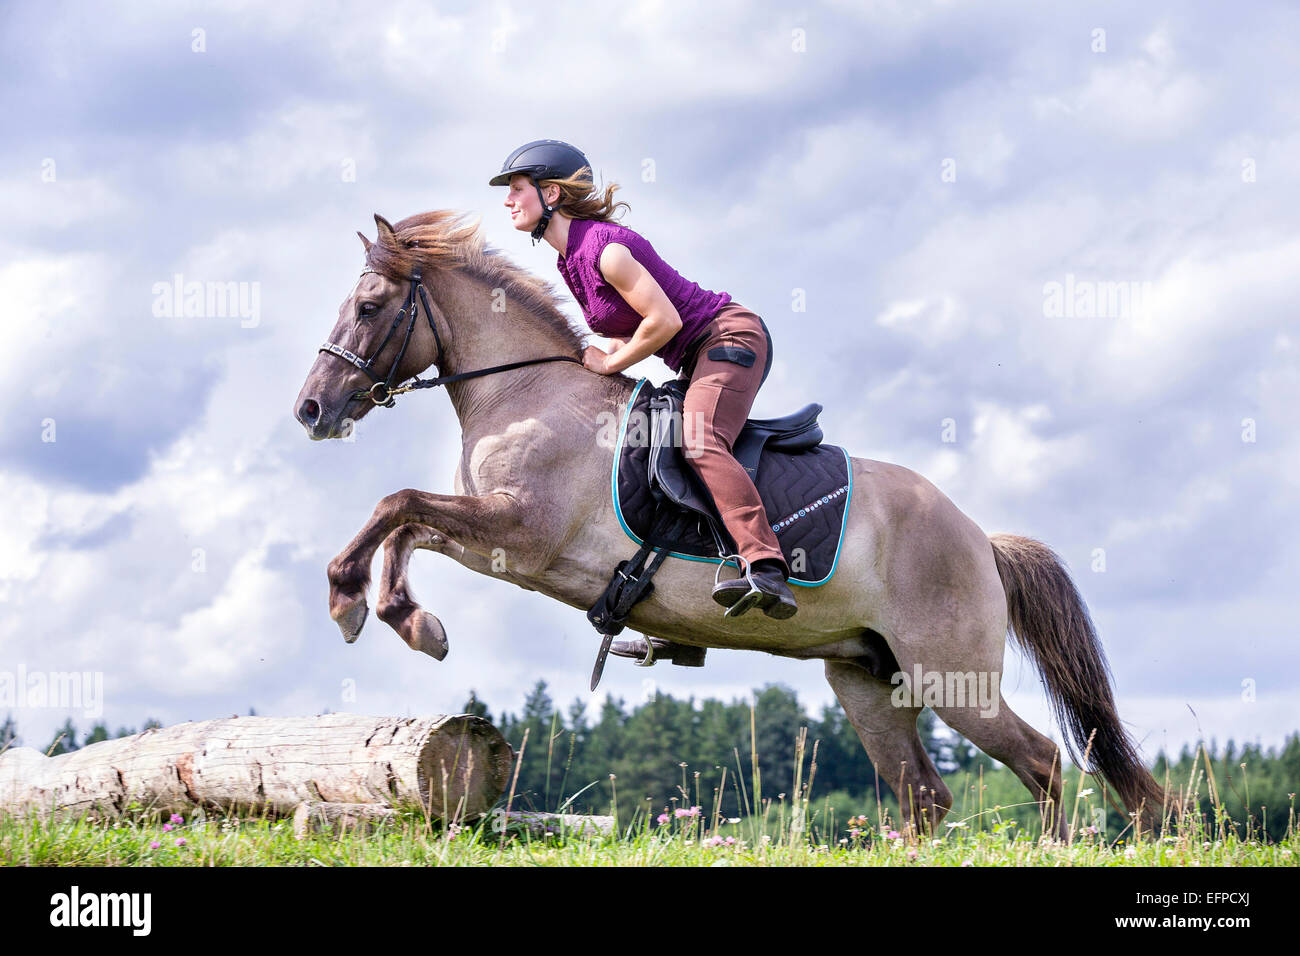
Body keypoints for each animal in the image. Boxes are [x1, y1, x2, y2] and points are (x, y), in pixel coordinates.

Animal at [292, 210, 1168, 840]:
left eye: (369, 307)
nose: (310, 410)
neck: (525, 392)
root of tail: (981, 539)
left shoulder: (521, 533)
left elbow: (397, 505)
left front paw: (355, 603)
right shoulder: (498, 541)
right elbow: (406, 522)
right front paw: (403, 617)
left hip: (952, 675)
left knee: (1042, 760)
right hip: (867, 679)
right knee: (924, 794)